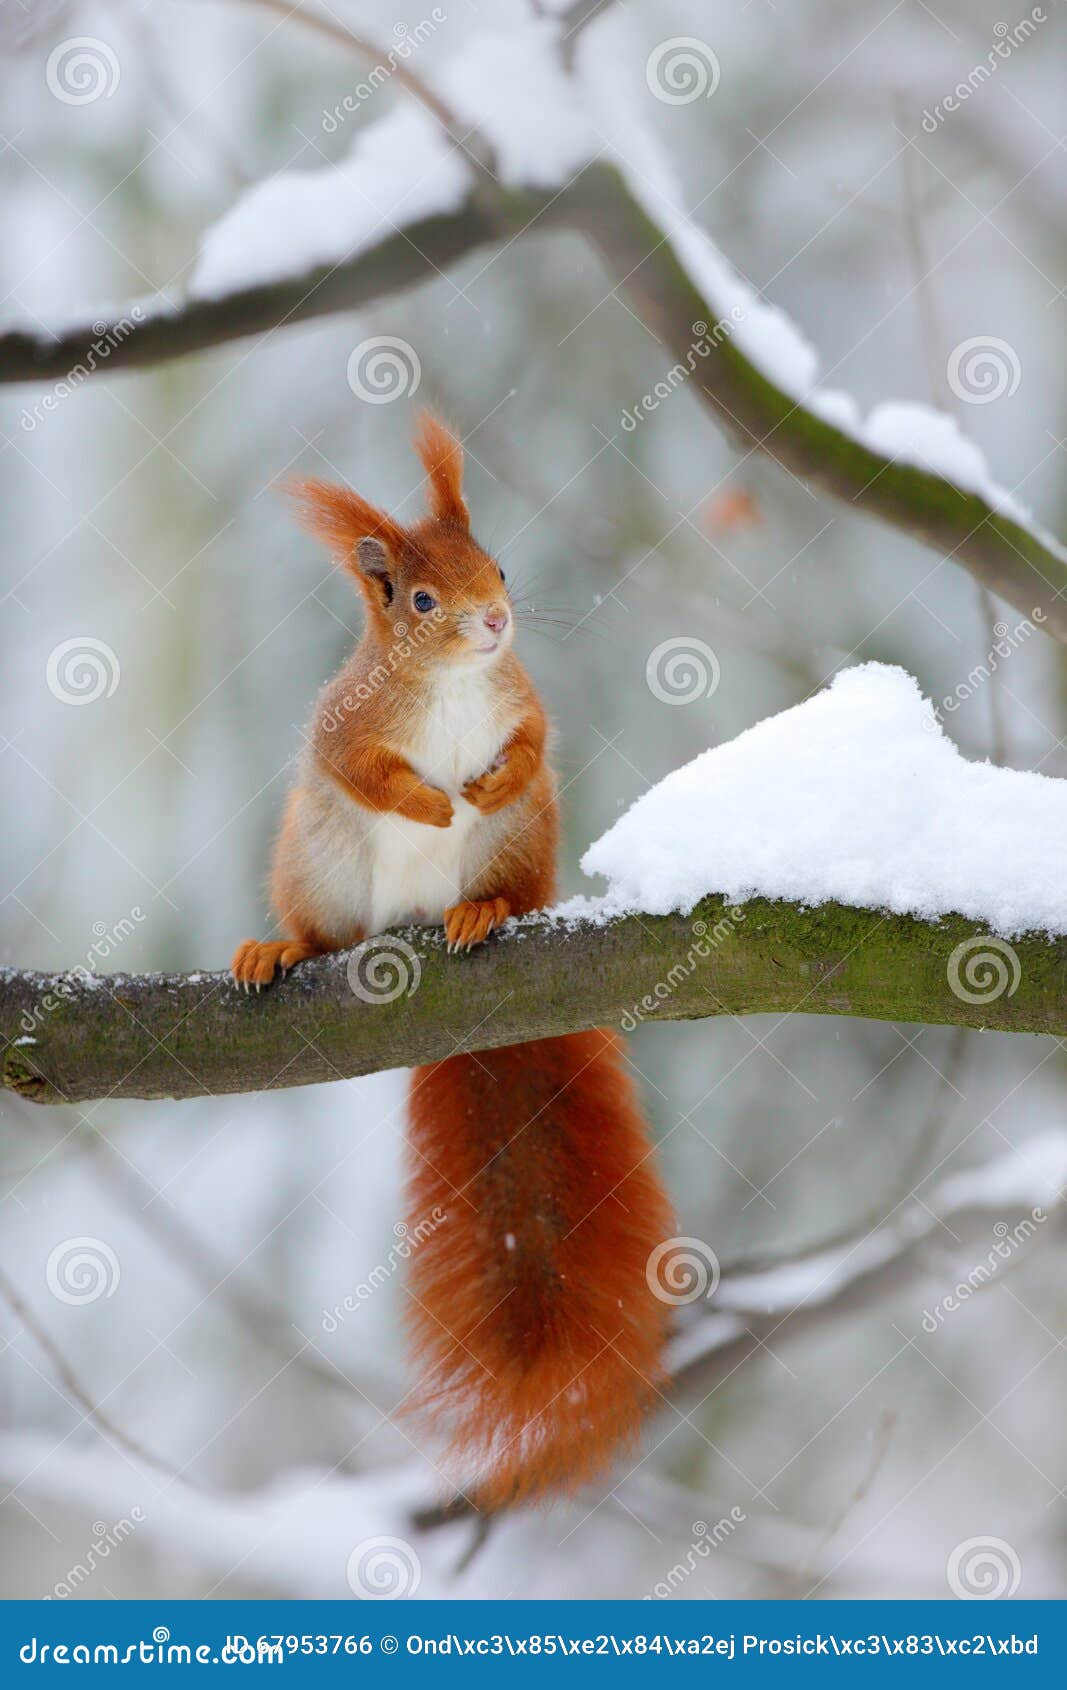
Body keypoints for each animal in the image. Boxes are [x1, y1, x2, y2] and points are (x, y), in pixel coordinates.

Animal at [232, 413, 675, 1506]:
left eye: (501, 565)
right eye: (422, 600)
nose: (495, 623)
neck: (457, 685)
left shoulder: (524, 704)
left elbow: (533, 742)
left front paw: (479, 783)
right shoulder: (345, 726)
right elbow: (364, 769)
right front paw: (428, 802)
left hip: (520, 850)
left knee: (508, 886)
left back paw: (478, 913)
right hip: (319, 866)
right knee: (324, 935)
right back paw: (277, 946)